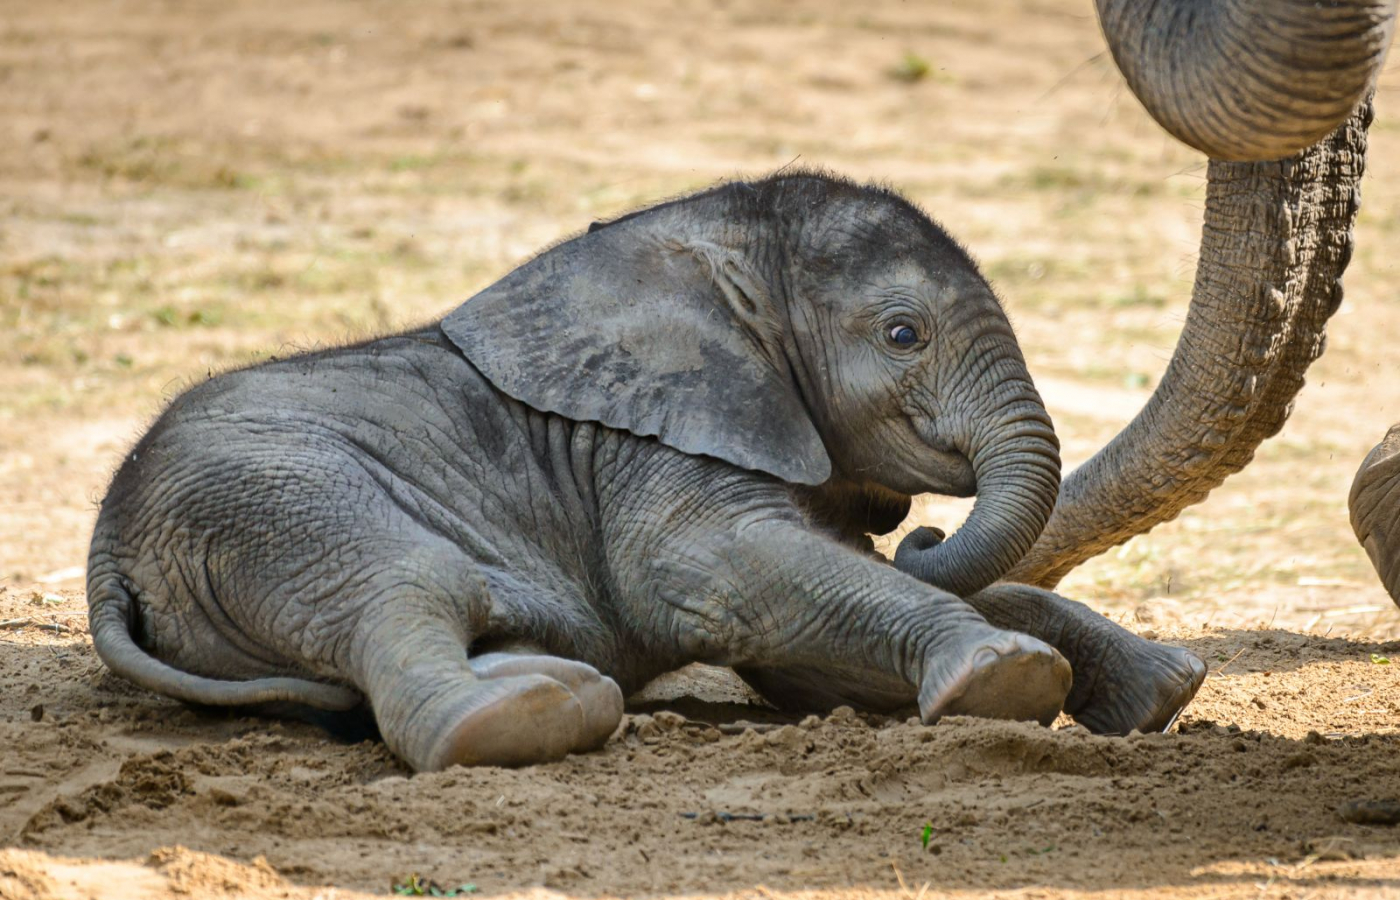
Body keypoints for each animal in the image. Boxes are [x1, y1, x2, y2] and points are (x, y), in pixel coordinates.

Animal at [86, 172, 1207, 772]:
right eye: (902, 335)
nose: (924, 528)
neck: (696, 232)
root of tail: (105, 546)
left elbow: (807, 646)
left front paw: (1162, 689)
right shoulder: (646, 453)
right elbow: (731, 577)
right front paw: (1005, 674)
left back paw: (553, 682)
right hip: (273, 500)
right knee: (411, 587)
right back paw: (532, 716)